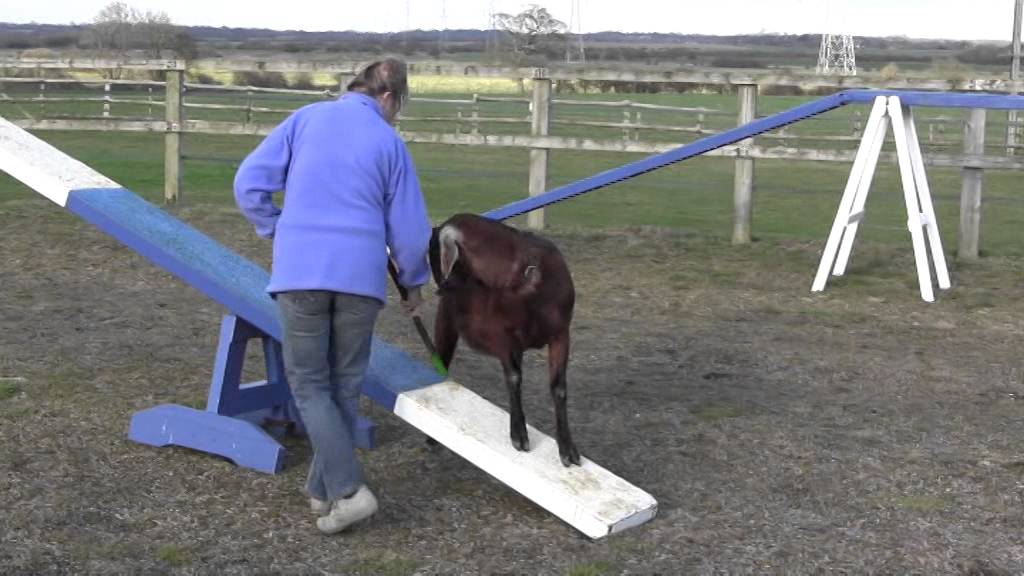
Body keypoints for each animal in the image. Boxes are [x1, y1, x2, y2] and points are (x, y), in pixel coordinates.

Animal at [428, 212, 581, 467]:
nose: (440, 290)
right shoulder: (502, 336)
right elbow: (514, 377)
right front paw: (519, 435)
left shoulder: (560, 335)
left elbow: (559, 388)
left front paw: (567, 449)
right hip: (449, 322)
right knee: (443, 356)